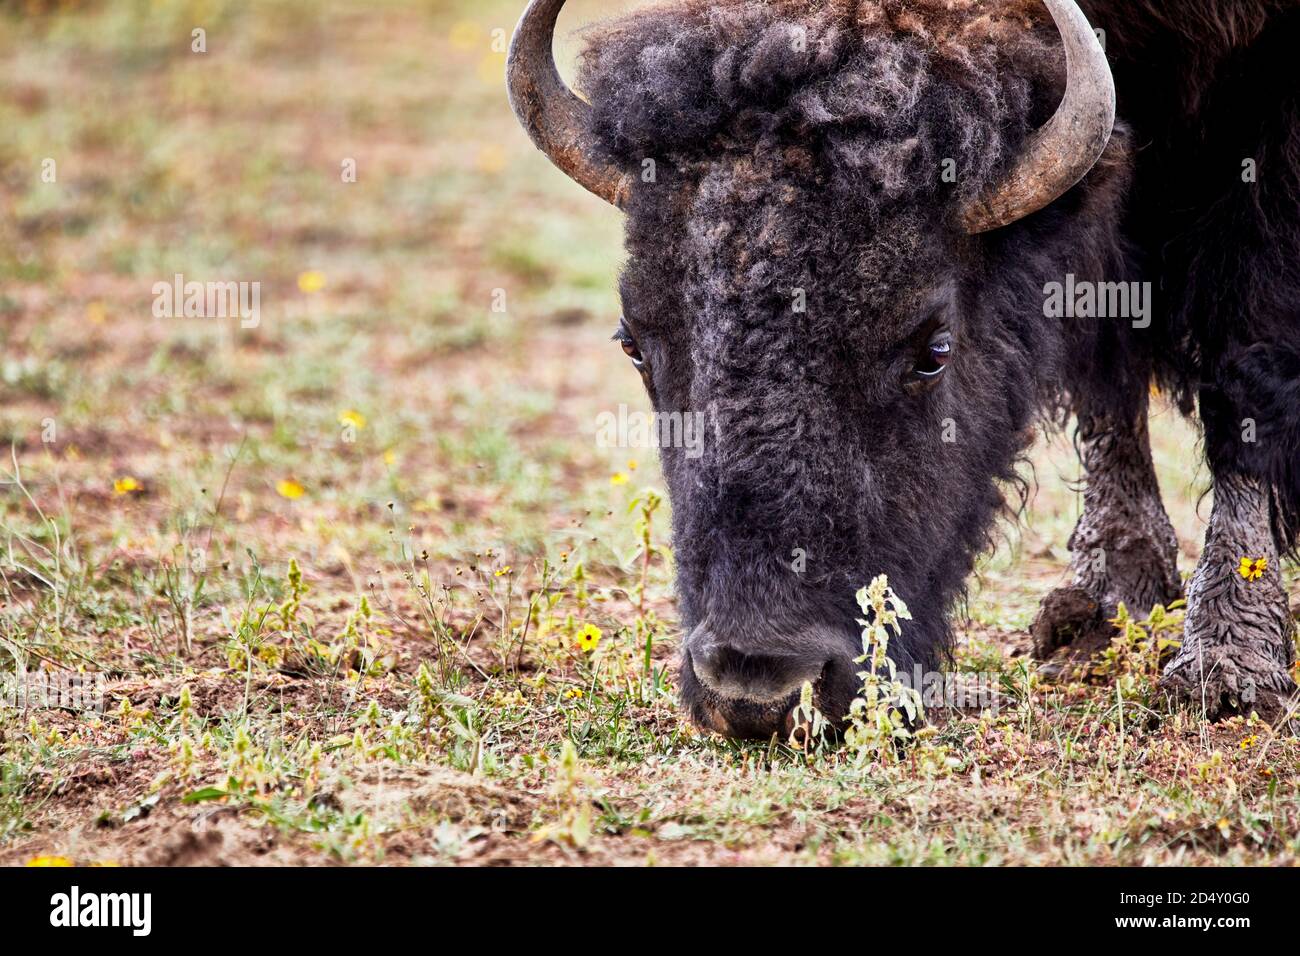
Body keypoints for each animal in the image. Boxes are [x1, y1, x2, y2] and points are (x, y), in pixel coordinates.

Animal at [507, 0, 1299, 737]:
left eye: (933, 351)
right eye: (633, 343)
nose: (756, 687)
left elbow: (1242, 362)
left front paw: (1229, 661)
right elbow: (1106, 368)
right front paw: (1110, 606)